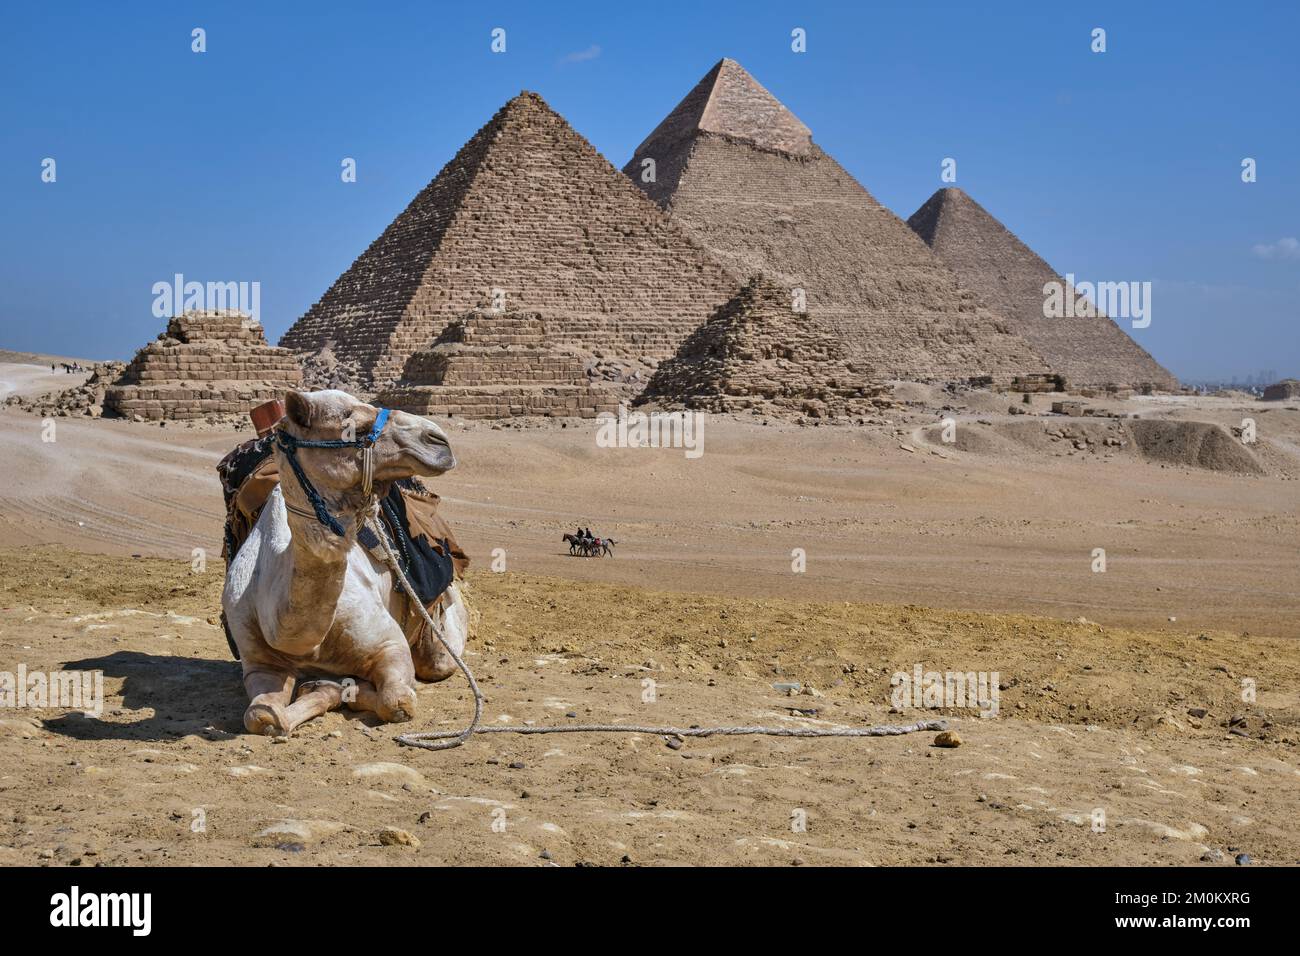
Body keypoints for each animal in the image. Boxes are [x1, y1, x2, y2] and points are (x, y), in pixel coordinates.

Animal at [222, 389, 470, 736]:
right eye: (351, 426)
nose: (438, 439)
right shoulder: (259, 664)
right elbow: (260, 717)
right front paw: (318, 690)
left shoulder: (390, 646)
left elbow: (397, 703)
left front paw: (341, 689)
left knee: (437, 661)